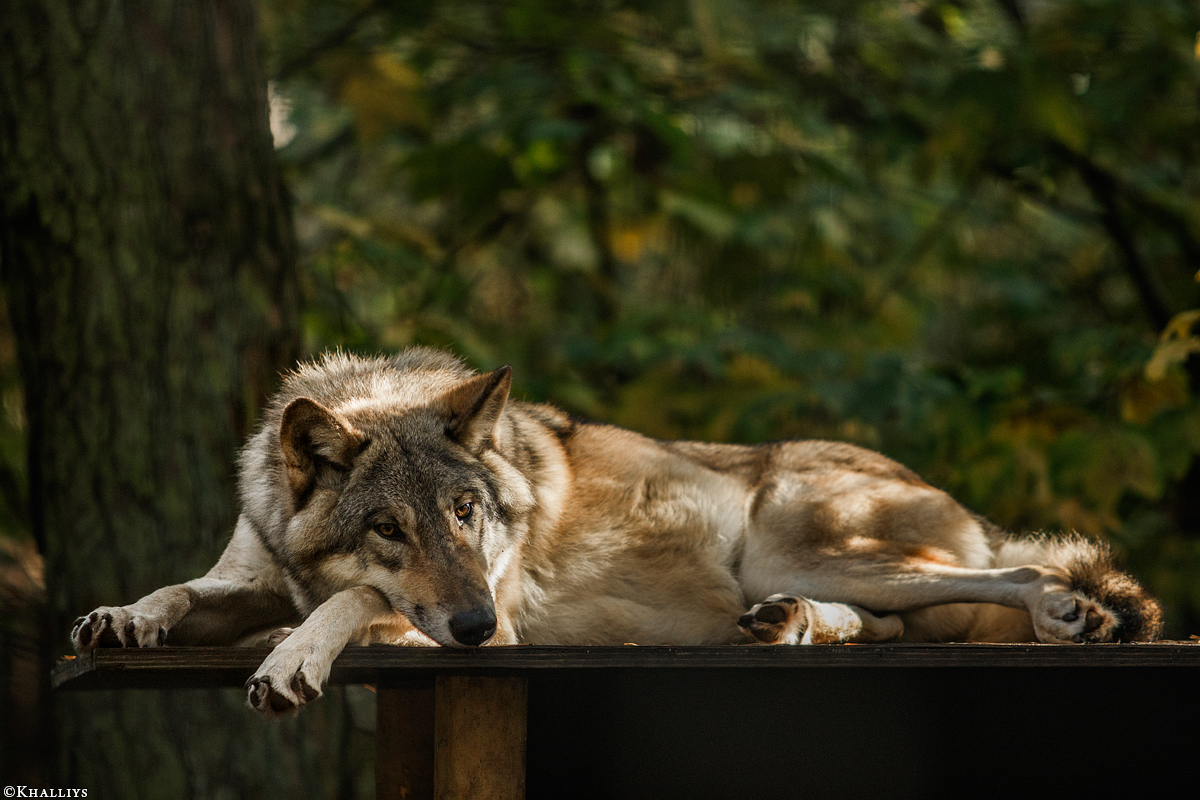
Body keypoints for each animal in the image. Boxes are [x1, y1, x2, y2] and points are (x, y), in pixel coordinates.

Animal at [71, 348, 1163, 714]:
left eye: (466, 514)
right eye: (388, 525)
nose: (473, 630)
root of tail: (961, 504)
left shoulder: (481, 616)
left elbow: (345, 605)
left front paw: (290, 657)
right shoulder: (253, 573)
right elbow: (185, 589)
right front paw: (123, 616)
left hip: (800, 539)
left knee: (1017, 574)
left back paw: (1066, 612)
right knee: (893, 621)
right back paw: (792, 625)